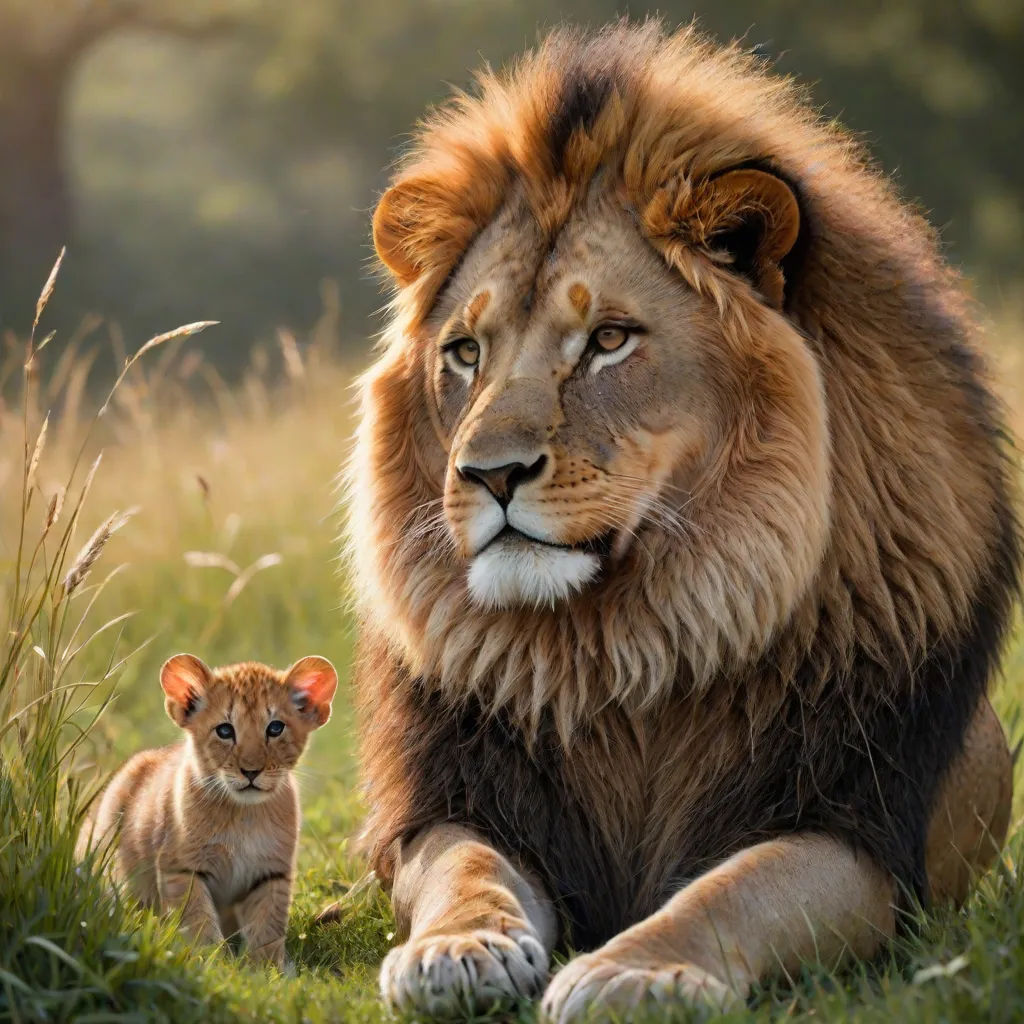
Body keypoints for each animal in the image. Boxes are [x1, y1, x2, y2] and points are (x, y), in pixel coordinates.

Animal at [341, 19, 1019, 1021]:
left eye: (609, 340)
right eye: (465, 354)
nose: (488, 473)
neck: (630, 640)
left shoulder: (856, 824)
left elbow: (733, 891)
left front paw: (634, 969)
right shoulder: (462, 796)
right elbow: (466, 868)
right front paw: (460, 949)